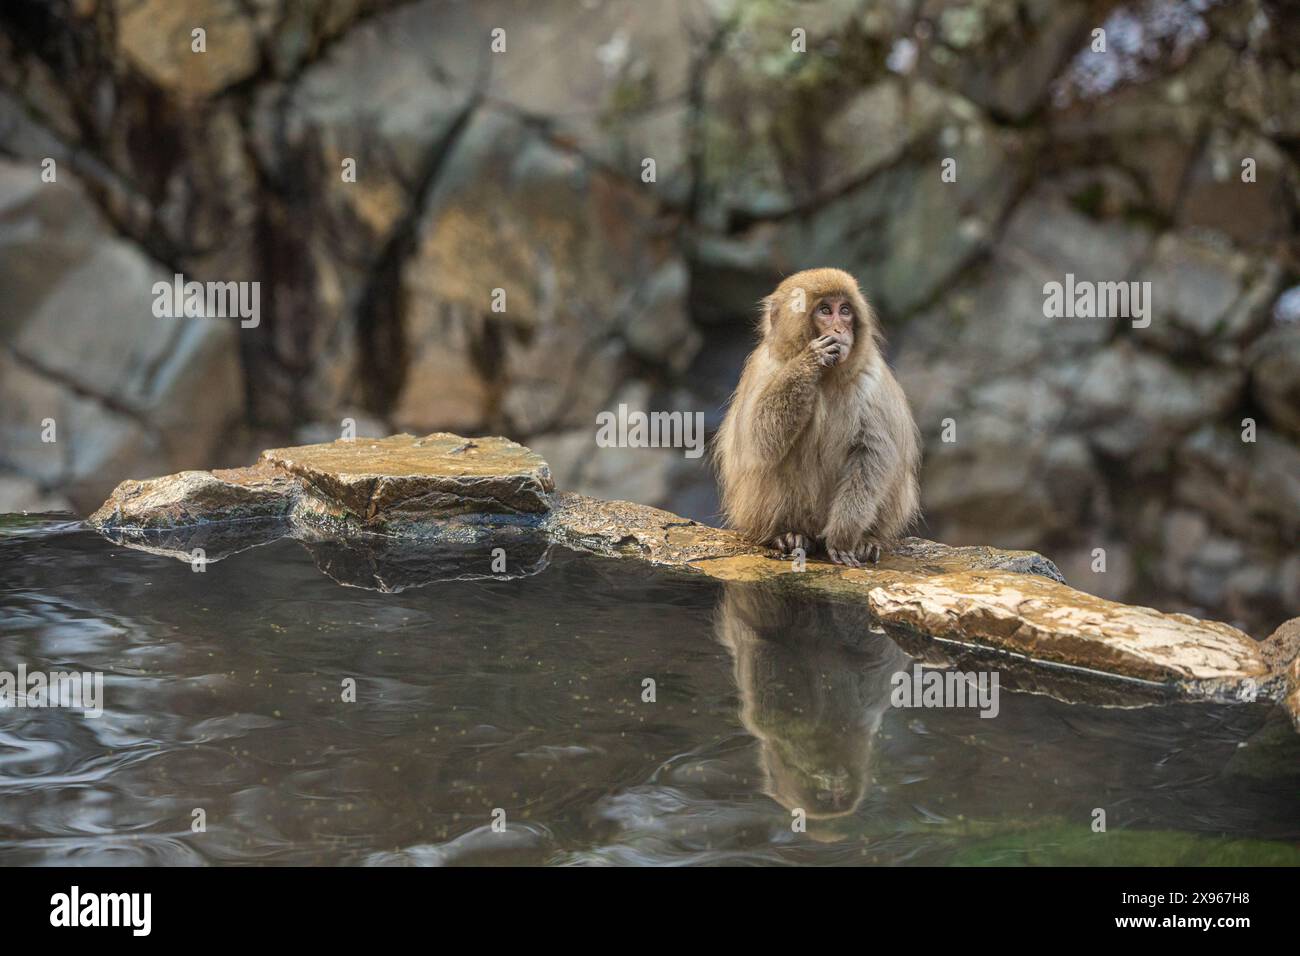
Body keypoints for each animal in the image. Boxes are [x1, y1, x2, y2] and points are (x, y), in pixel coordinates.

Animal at [712, 268, 920, 567]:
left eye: (844, 310)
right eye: (825, 310)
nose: (840, 329)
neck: (828, 377)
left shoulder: (871, 379)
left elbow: (871, 454)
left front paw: (843, 538)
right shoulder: (764, 366)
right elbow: (757, 441)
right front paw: (809, 360)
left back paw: (866, 540)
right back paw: (788, 535)